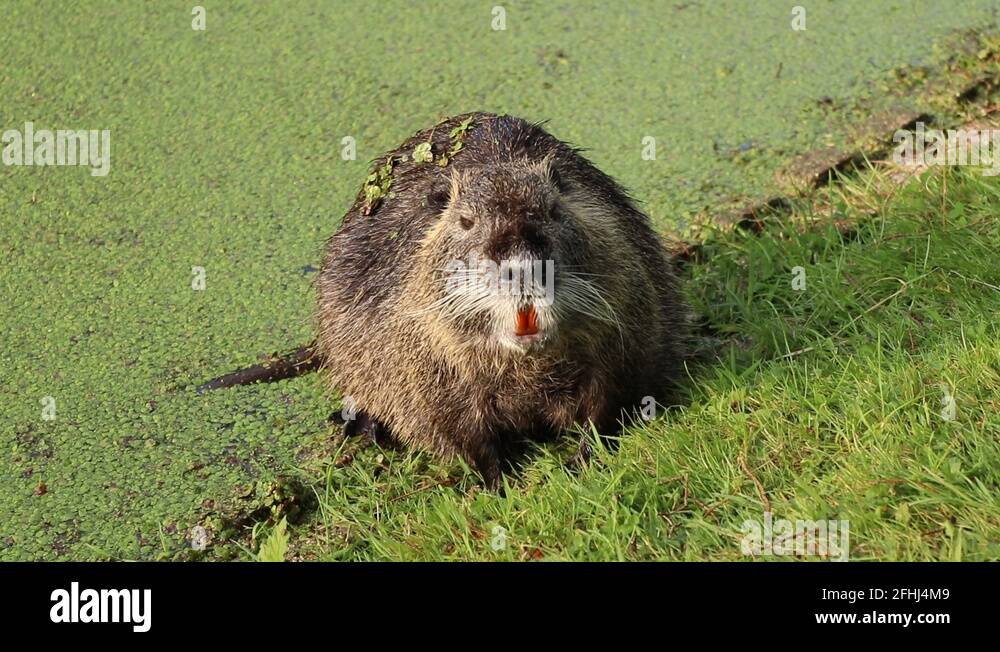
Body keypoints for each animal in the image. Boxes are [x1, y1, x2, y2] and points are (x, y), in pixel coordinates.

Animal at [317, 112, 687, 488]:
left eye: (554, 209)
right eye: (465, 221)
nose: (522, 267)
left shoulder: (623, 329)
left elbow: (607, 402)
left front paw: (580, 459)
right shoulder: (426, 371)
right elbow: (461, 435)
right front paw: (501, 483)